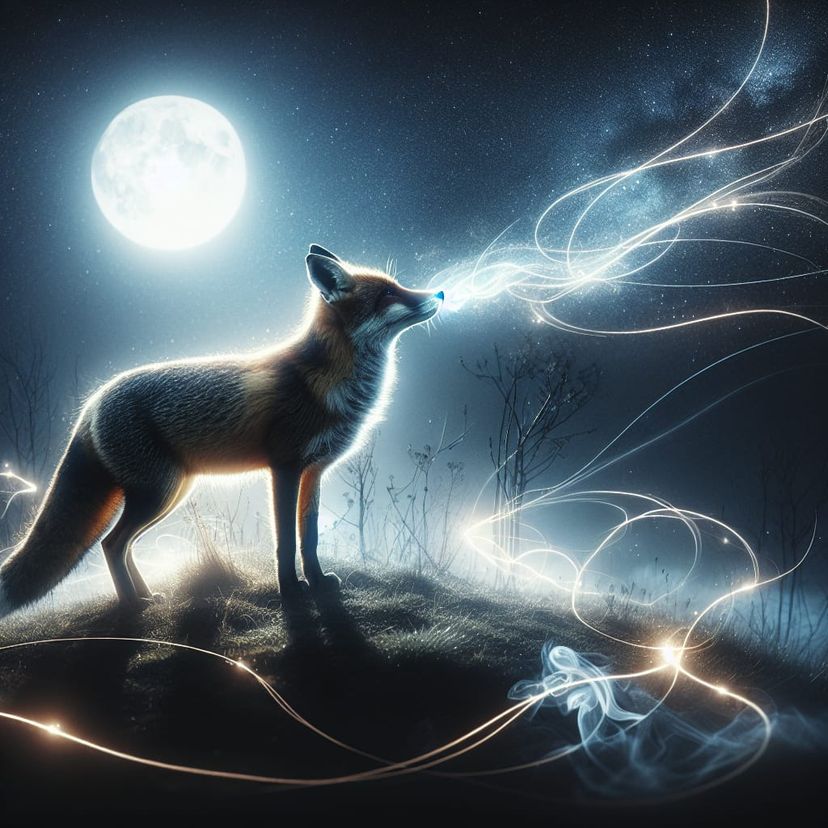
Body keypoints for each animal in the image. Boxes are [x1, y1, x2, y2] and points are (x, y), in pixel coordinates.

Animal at [0, 245, 444, 615]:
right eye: (387, 295)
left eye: (398, 286)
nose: (439, 294)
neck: (327, 382)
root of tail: (92, 403)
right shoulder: (284, 467)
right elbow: (285, 540)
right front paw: (290, 591)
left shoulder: (314, 471)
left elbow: (310, 537)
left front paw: (318, 583)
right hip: (159, 492)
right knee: (112, 544)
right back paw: (132, 605)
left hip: (172, 492)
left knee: (120, 546)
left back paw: (145, 597)